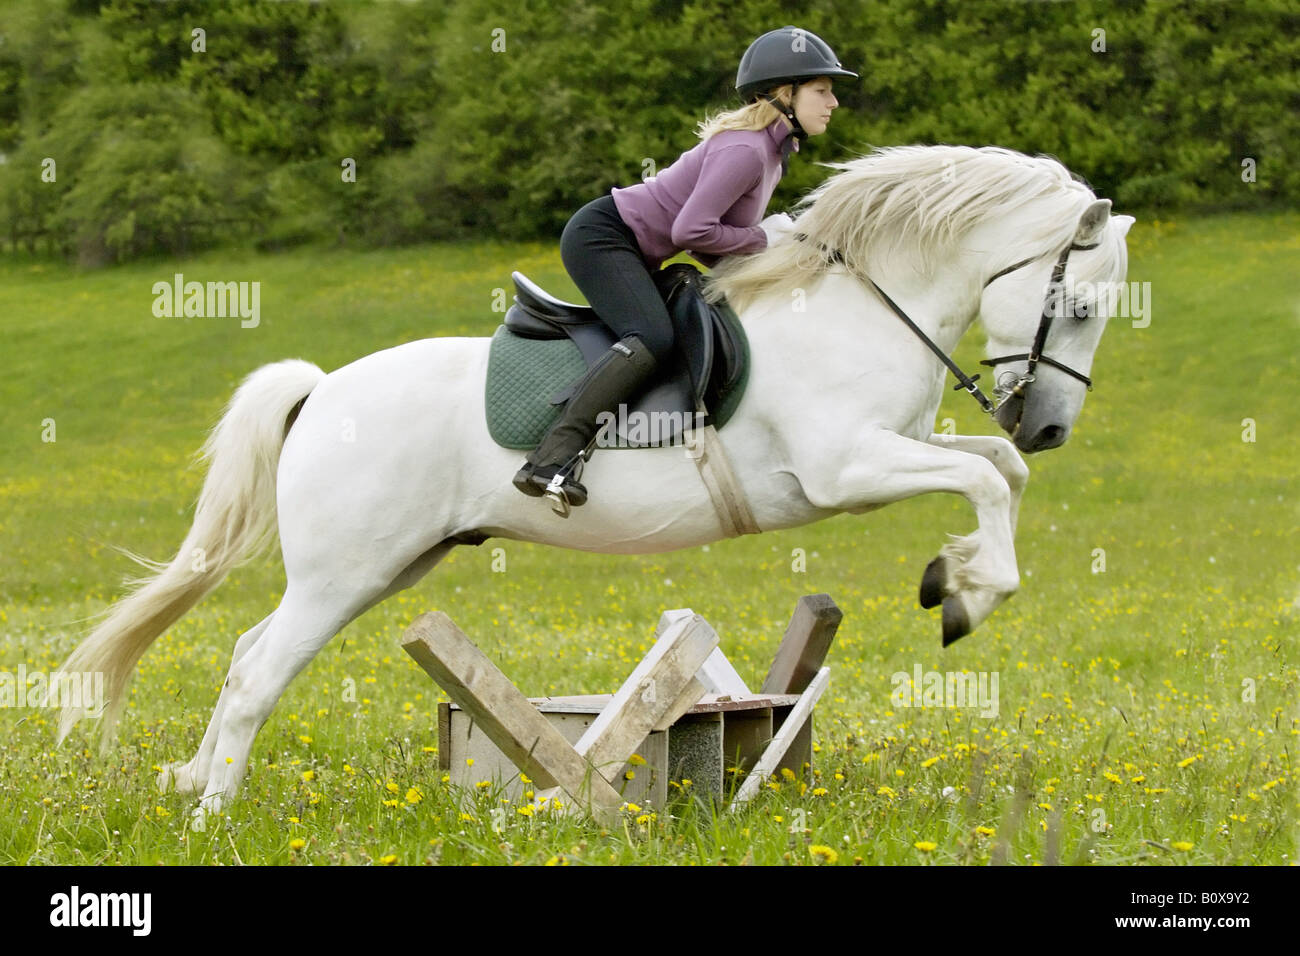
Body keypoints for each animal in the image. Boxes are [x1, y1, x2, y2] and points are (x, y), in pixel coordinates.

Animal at [52, 144, 1133, 823]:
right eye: (1079, 307)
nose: (1047, 426)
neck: (864, 305)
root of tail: (321, 390)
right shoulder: (846, 467)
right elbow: (980, 481)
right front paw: (972, 594)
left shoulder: (896, 445)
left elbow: (992, 472)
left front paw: (952, 575)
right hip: (344, 573)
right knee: (257, 673)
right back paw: (214, 814)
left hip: (387, 566)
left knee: (245, 650)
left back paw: (192, 782)